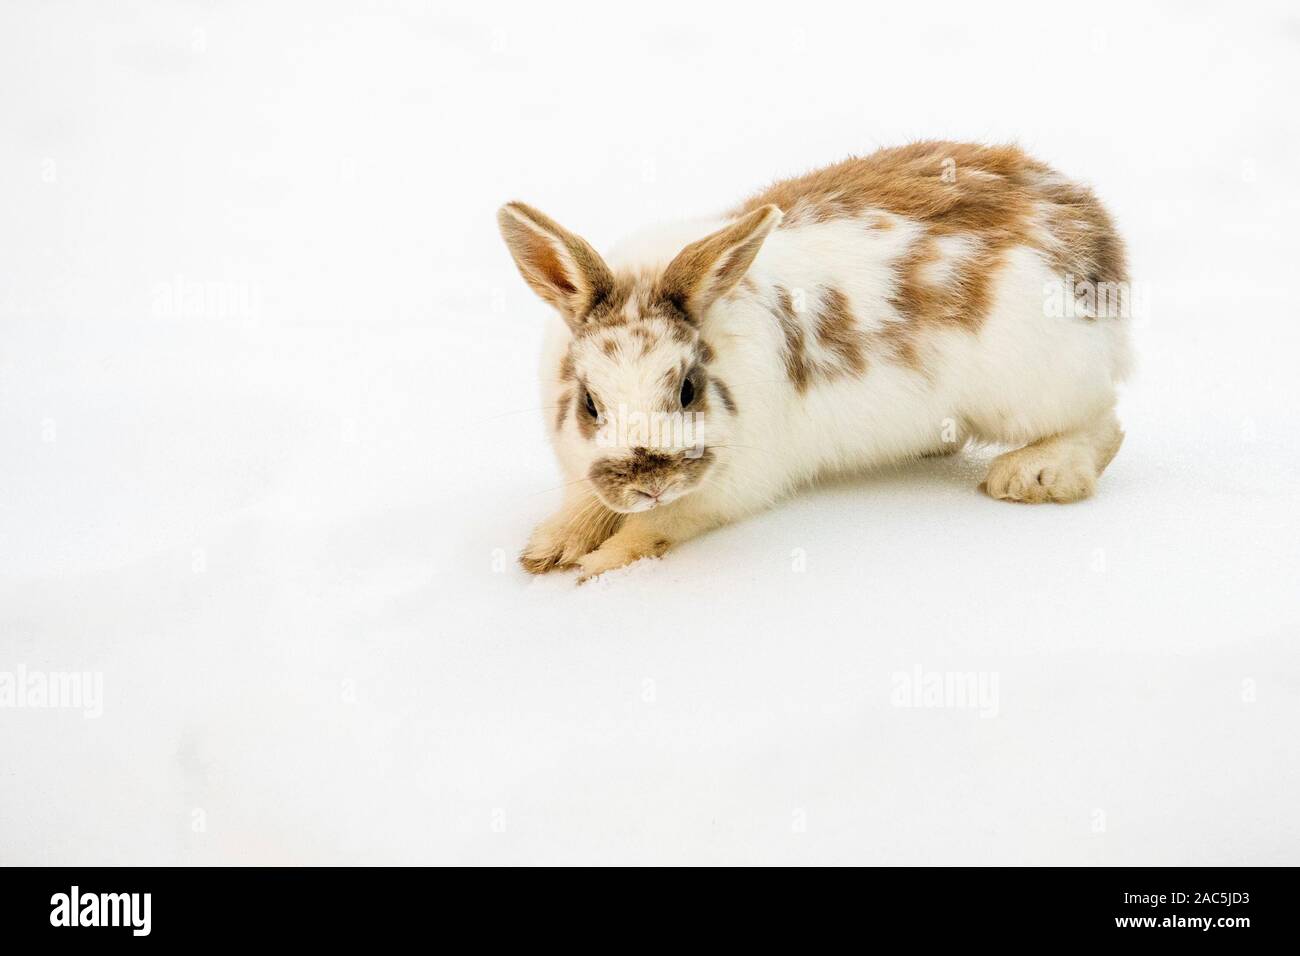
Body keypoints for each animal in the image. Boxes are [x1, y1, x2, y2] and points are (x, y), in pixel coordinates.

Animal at [498, 141, 1131, 581]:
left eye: (687, 390)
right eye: (589, 404)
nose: (651, 481)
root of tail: (1099, 249)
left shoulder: (733, 486)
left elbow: (662, 525)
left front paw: (601, 562)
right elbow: (587, 503)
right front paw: (548, 547)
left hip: (1034, 388)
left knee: (1104, 422)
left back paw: (1033, 475)